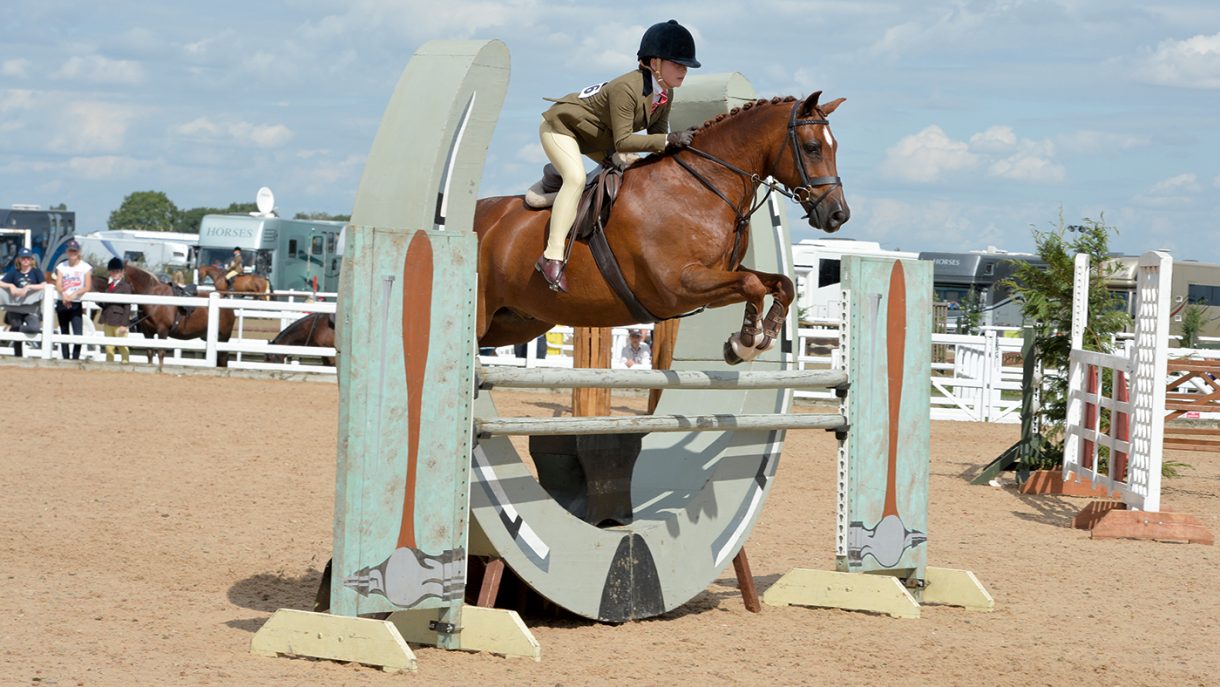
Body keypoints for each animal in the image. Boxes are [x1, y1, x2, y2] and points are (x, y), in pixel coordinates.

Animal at [473, 92, 848, 364]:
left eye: (835, 147)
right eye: (813, 148)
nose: (838, 215)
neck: (702, 185)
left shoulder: (721, 272)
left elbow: (781, 284)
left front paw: (762, 337)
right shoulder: (677, 286)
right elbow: (753, 285)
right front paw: (743, 344)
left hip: (516, 322)